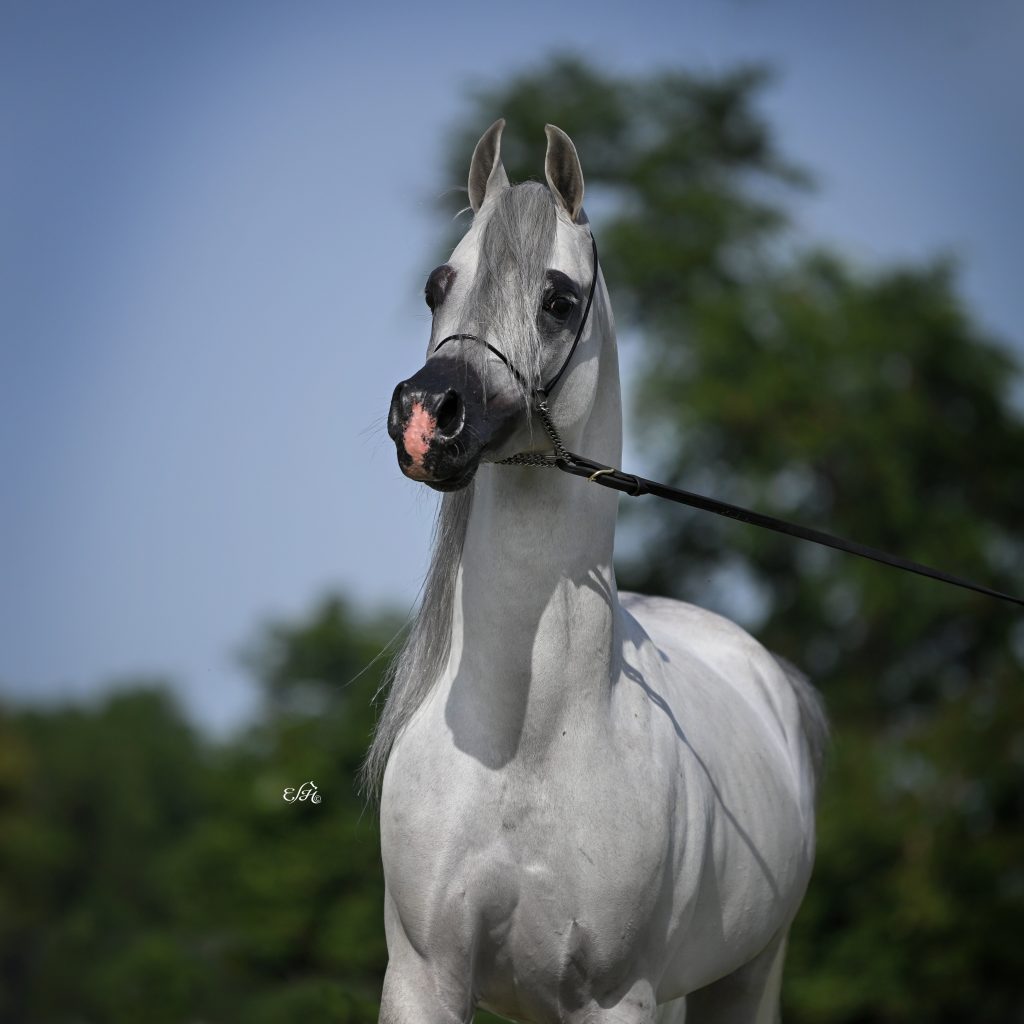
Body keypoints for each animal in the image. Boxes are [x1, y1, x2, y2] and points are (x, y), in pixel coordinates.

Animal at [367, 119, 828, 1024]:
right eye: (437, 286)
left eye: (559, 301)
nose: (426, 418)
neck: (523, 744)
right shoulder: (423, 981)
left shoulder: (617, 999)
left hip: (743, 981)